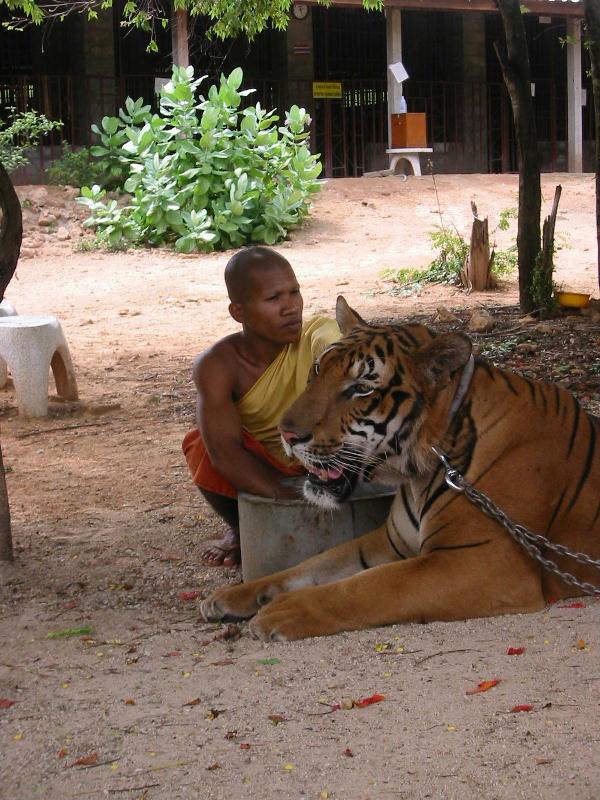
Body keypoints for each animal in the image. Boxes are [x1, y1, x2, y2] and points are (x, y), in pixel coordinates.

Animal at [203, 296, 600, 640]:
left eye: (360, 389)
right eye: (317, 370)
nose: (287, 434)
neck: (421, 468)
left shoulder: (482, 561)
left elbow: (366, 586)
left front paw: (282, 610)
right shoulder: (388, 540)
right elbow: (311, 565)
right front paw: (231, 597)